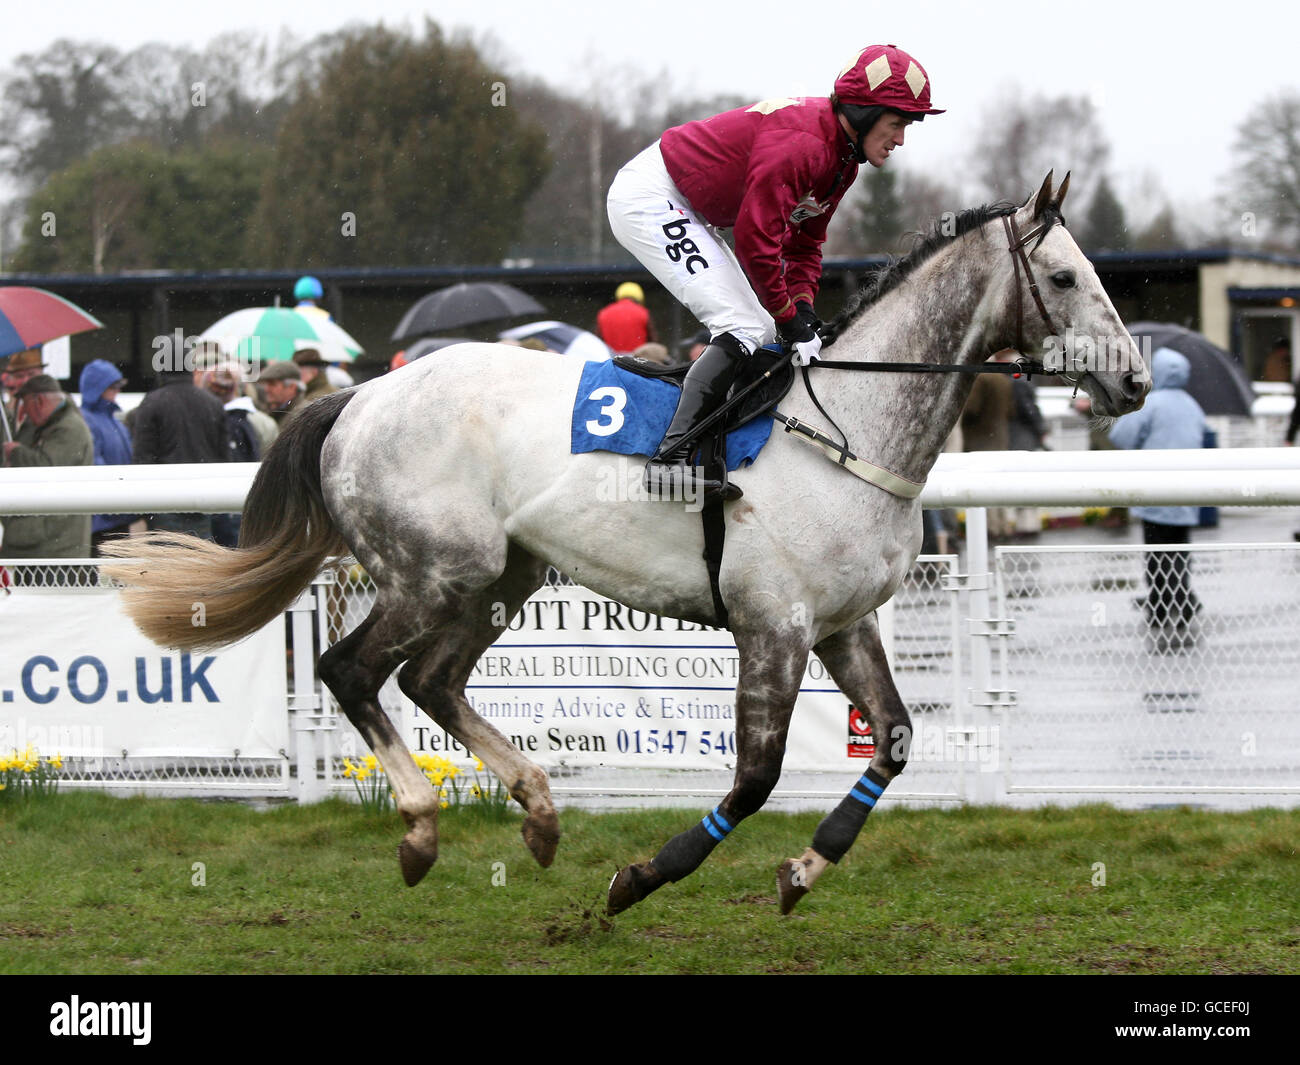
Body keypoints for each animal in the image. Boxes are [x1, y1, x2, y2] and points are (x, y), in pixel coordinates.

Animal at [103, 173, 1149, 916]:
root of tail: (359, 395)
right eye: (1064, 277)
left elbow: (893, 739)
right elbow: (756, 776)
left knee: (430, 680)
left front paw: (805, 870)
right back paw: (422, 828)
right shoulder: (774, 624)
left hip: (505, 573)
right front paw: (644, 876)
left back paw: (538, 811)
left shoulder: (843, 623)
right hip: (436, 569)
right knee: (351, 670)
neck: (848, 424)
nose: (1135, 380)